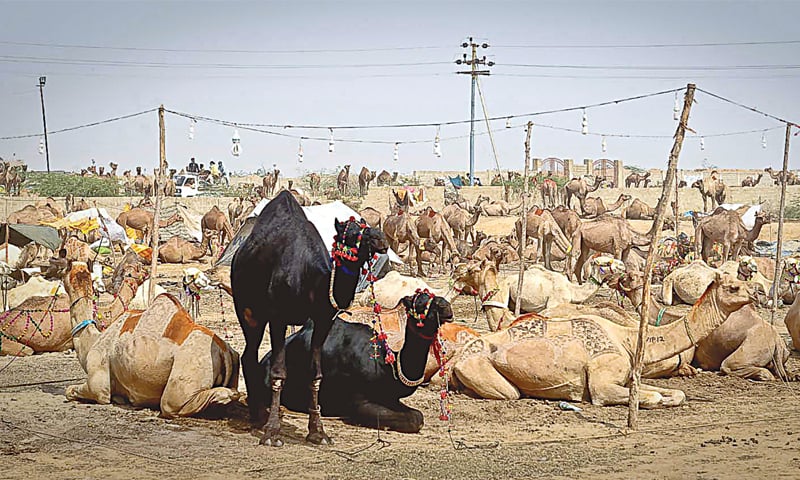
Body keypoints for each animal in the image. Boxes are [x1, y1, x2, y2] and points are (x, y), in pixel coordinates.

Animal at [62, 262, 241, 417]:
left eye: (65, 270)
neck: (93, 339)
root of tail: (224, 352)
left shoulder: (98, 384)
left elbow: (70, 391)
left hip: (189, 371)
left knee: (171, 404)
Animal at [449, 273, 752, 404]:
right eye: (733, 287)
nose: (755, 293)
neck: (625, 338)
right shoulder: (602, 384)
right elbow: (651, 397)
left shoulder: (630, 378)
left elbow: (675, 393)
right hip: (477, 367)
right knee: (509, 392)